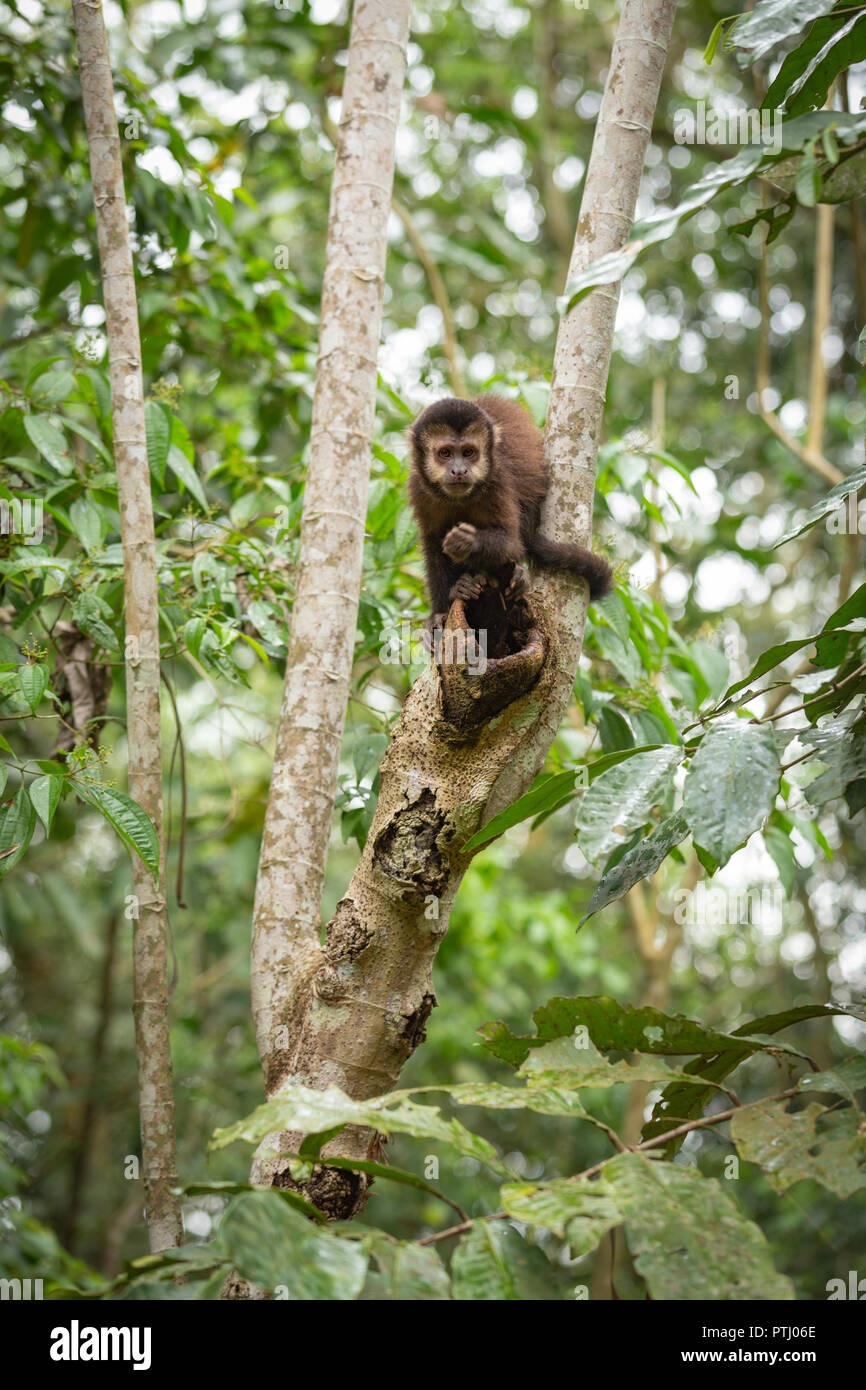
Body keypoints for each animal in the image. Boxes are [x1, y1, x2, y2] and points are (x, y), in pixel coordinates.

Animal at [407, 394, 613, 631]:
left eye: (468, 452)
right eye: (445, 453)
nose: (459, 470)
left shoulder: (498, 480)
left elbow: (511, 543)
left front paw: (468, 542)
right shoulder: (419, 488)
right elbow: (433, 542)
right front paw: (440, 611)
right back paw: (464, 586)